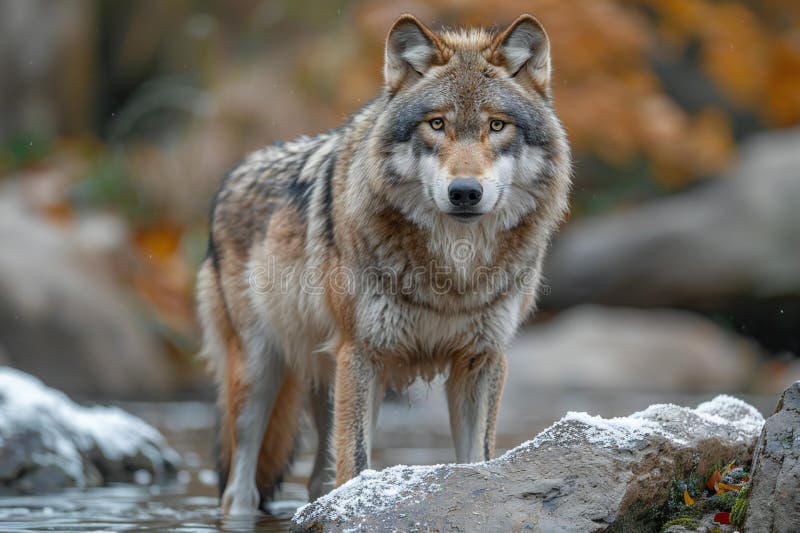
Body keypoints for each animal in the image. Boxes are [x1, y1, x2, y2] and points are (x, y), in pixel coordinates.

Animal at [196, 13, 571, 514]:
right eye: (437, 124)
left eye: (497, 125)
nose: (465, 192)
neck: (453, 271)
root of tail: (232, 175)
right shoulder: (361, 354)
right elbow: (355, 465)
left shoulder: (482, 359)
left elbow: (478, 461)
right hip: (260, 374)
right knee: (240, 488)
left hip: (324, 381)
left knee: (315, 481)